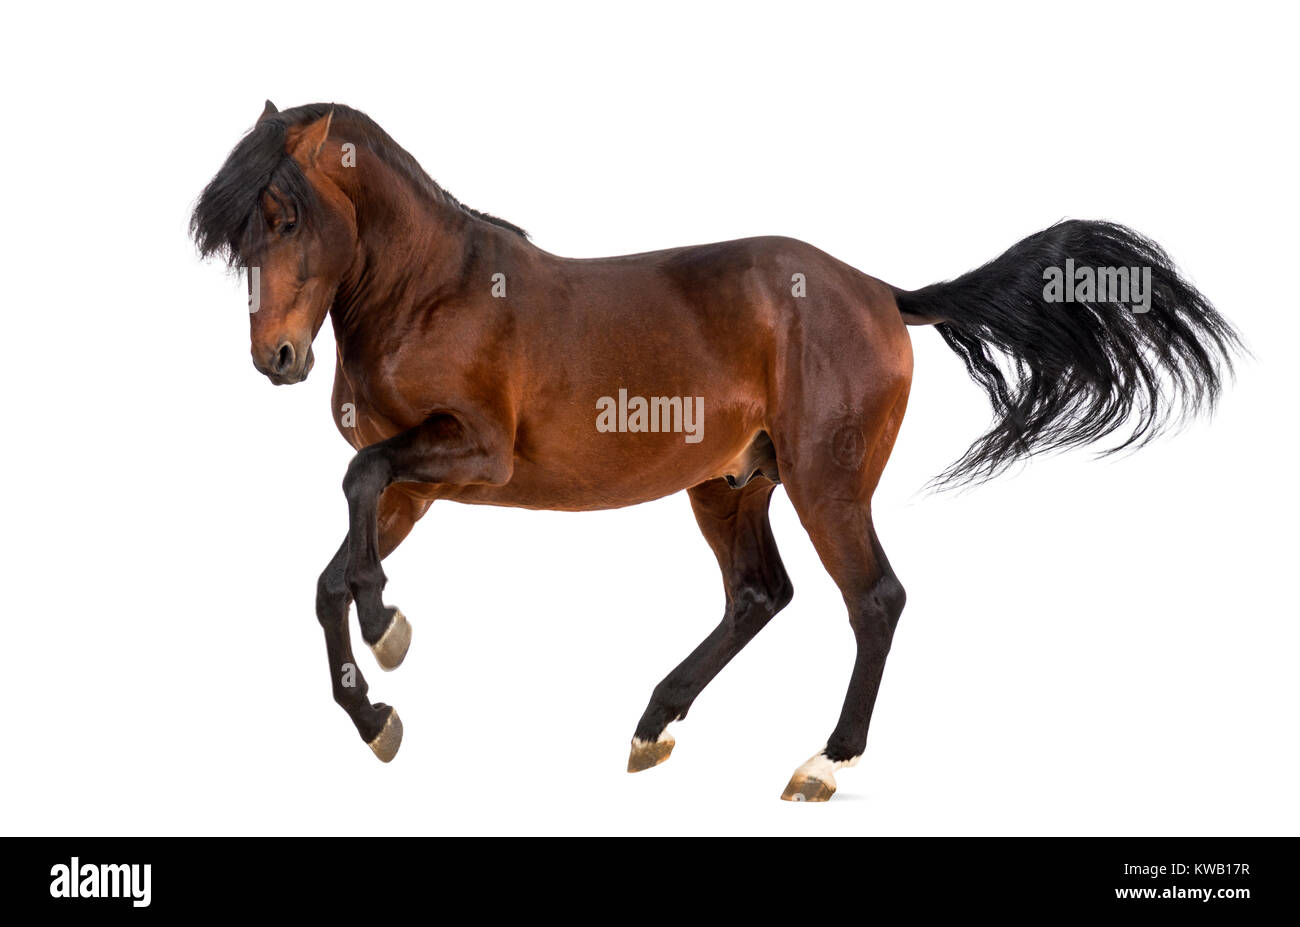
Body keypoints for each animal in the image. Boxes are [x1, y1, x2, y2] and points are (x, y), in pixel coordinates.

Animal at [191, 101, 1240, 801]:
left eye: (286, 216)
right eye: (237, 235)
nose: (275, 359)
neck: (436, 292)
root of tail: (882, 293)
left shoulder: (476, 455)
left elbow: (355, 489)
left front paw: (389, 630)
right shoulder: (419, 486)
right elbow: (334, 566)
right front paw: (378, 706)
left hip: (824, 480)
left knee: (875, 598)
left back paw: (823, 762)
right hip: (730, 483)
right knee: (758, 594)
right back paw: (653, 726)